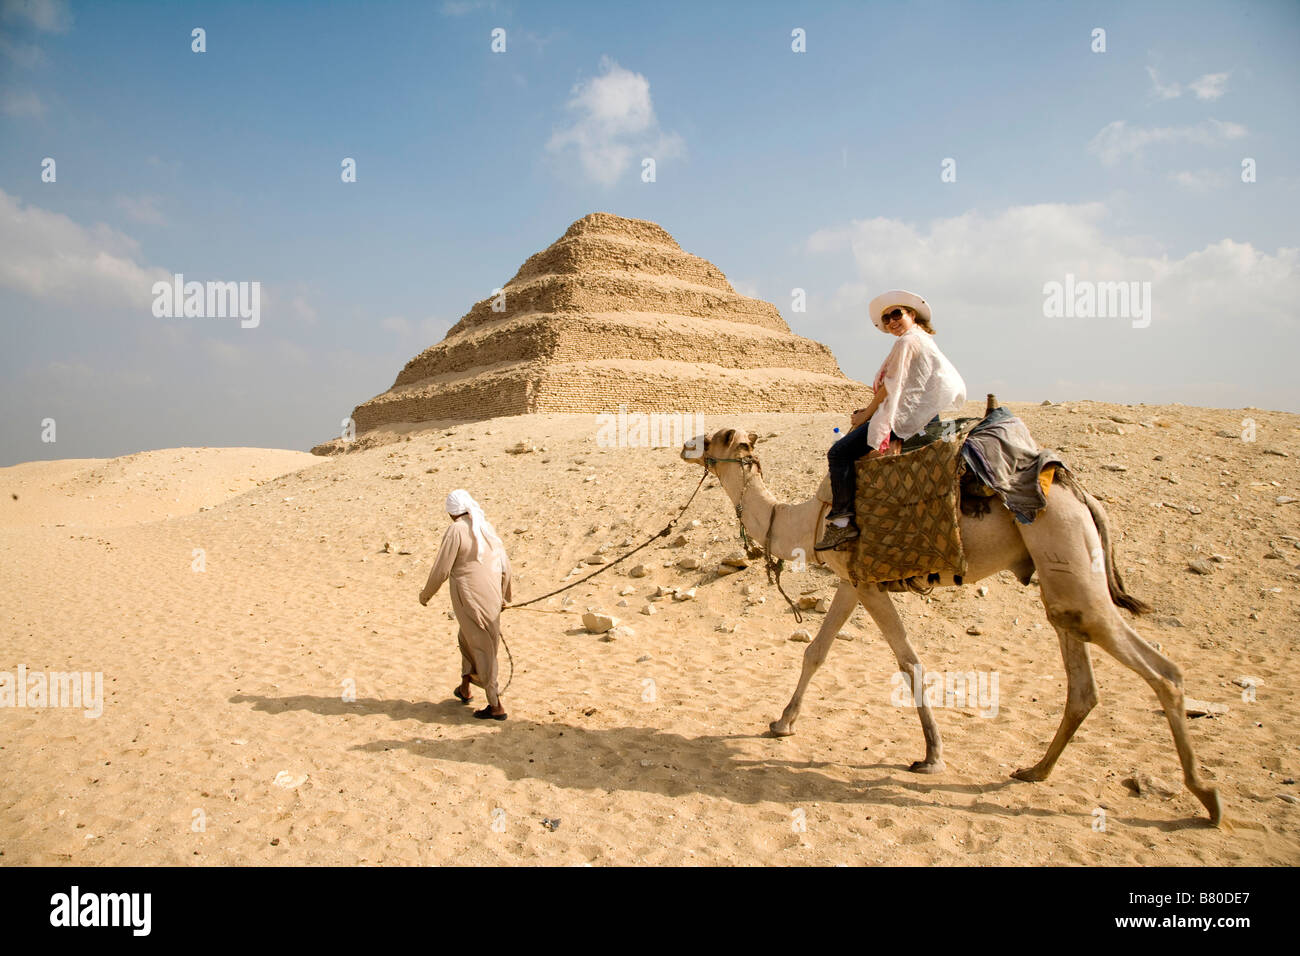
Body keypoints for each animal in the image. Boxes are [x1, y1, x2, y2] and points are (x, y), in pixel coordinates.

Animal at [680, 424, 1223, 825]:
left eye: (718, 438)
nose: (685, 443)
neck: (806, 521)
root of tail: (1084, 497)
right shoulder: (853, 582)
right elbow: (819, 650)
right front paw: (782, 723)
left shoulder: (864, 581)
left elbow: (906, 659)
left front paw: (931, 756)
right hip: (1061, 573)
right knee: (1081, 677)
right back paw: (1034, 771)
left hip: (1067, 551)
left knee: (1163, 671)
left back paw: (1207, 797)